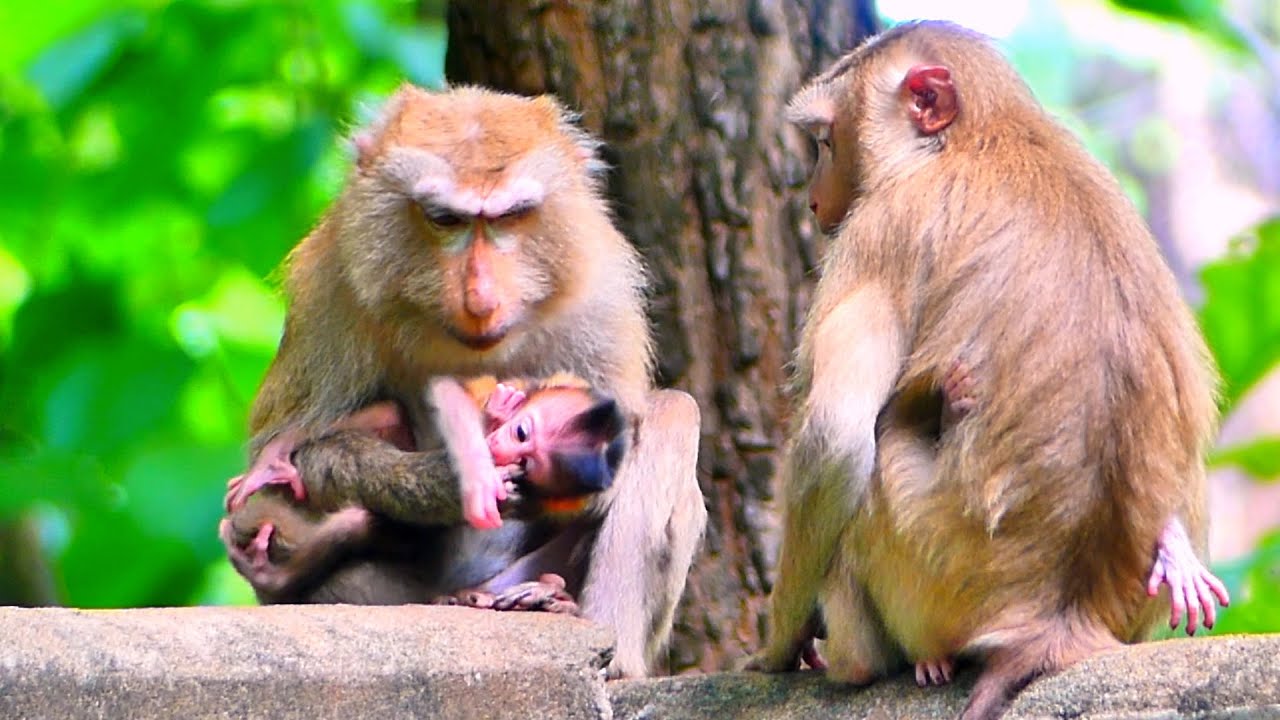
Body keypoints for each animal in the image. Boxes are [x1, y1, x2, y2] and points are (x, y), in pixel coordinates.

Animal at [748, 21, 1221, 719]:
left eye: (827, 143)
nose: (810, 200)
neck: (987, 131)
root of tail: (1059, 624)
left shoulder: (878, 230)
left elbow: (835, 437)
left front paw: (779, 643)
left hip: (927, 568)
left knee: (870, 457)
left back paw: (865, 662)